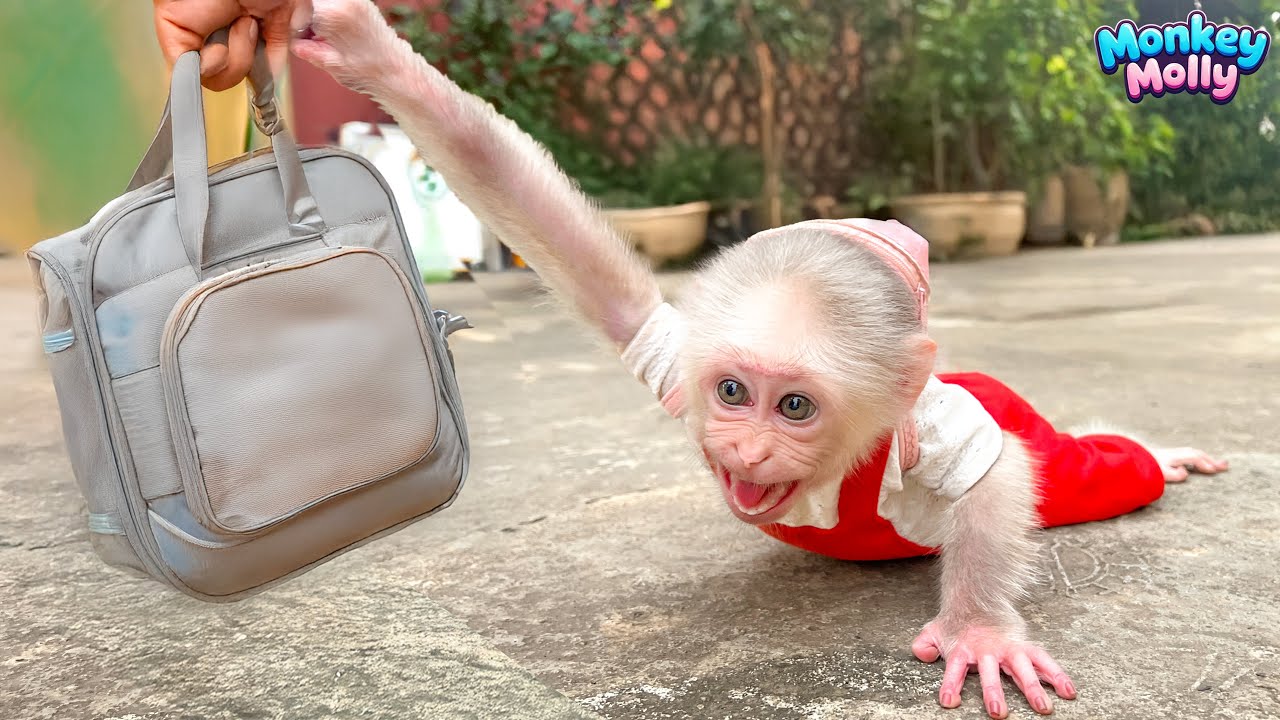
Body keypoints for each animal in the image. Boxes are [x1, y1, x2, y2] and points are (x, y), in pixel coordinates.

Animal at [290, 2, 1230, 717]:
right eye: (734, 392)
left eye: (795, 407)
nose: (742, 448)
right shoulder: (676, 356)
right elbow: (583, 262)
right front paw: (376, 57)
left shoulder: (929, 424)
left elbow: (992, 478)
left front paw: (980, 630)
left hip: (998, 414)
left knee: (1082, 465)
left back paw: (1157, 456)